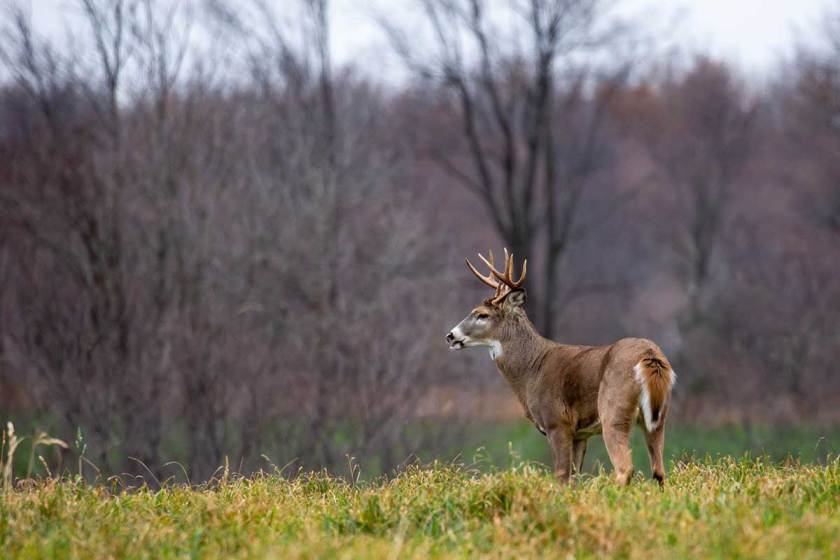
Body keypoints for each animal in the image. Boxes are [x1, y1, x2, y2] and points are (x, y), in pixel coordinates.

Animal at [445, 249, 676, 486]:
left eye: (482, 314)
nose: (450, 336)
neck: (532, 370)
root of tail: (650, 356)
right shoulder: (580, 434)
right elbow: (574, 478)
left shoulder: (557, 422)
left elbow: (561, 476)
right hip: (658, 418)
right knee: (659, 471)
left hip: (614, 409)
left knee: (625, 467)